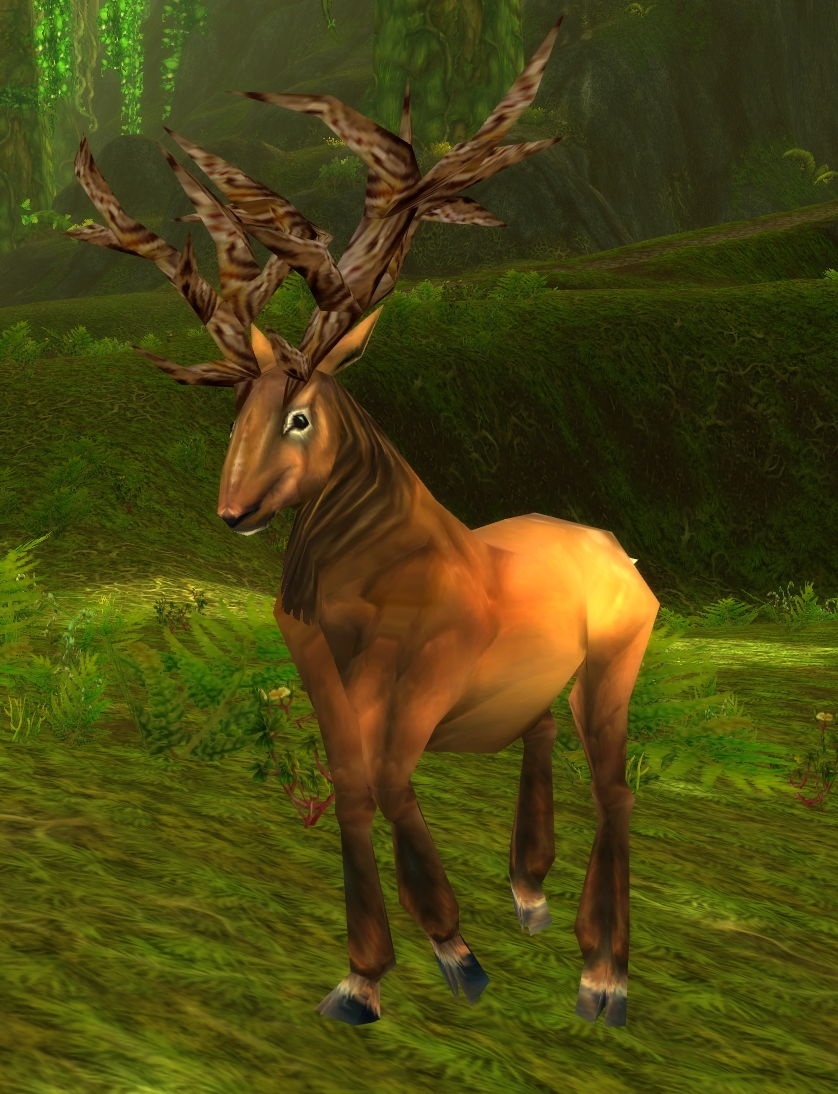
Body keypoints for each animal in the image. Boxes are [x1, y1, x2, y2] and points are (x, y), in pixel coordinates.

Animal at [66, 14, 659, 1027]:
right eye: (238, 411)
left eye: (301, 415)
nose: (232, 512)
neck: (355, 584)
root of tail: (620, 551)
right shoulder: (313, 653)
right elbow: (348, 782)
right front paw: (362, 975)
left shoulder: (428, 663)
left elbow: (387, 778)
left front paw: (455, 950)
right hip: (545, 686)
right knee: (542, 737)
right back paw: (529, 894)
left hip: (615, 660)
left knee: (615, 787)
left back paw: (604, 976)